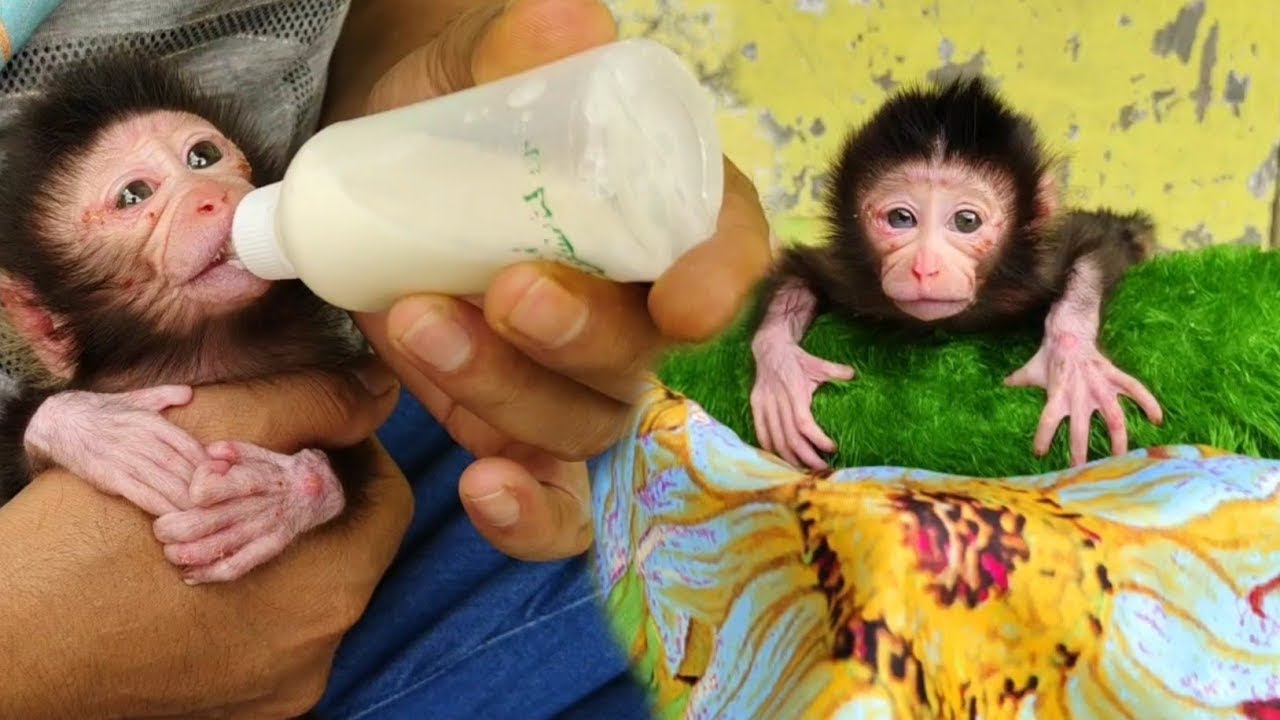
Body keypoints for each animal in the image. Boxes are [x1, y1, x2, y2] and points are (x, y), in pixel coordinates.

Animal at [750, 76, 1163, 471]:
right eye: (901, 218)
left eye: (966, 221)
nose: (924, 268)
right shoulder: (851, 278)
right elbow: (799, 271)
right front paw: (782, 371)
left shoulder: (1034, 270)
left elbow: (1110, 239)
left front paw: (1075, 363)